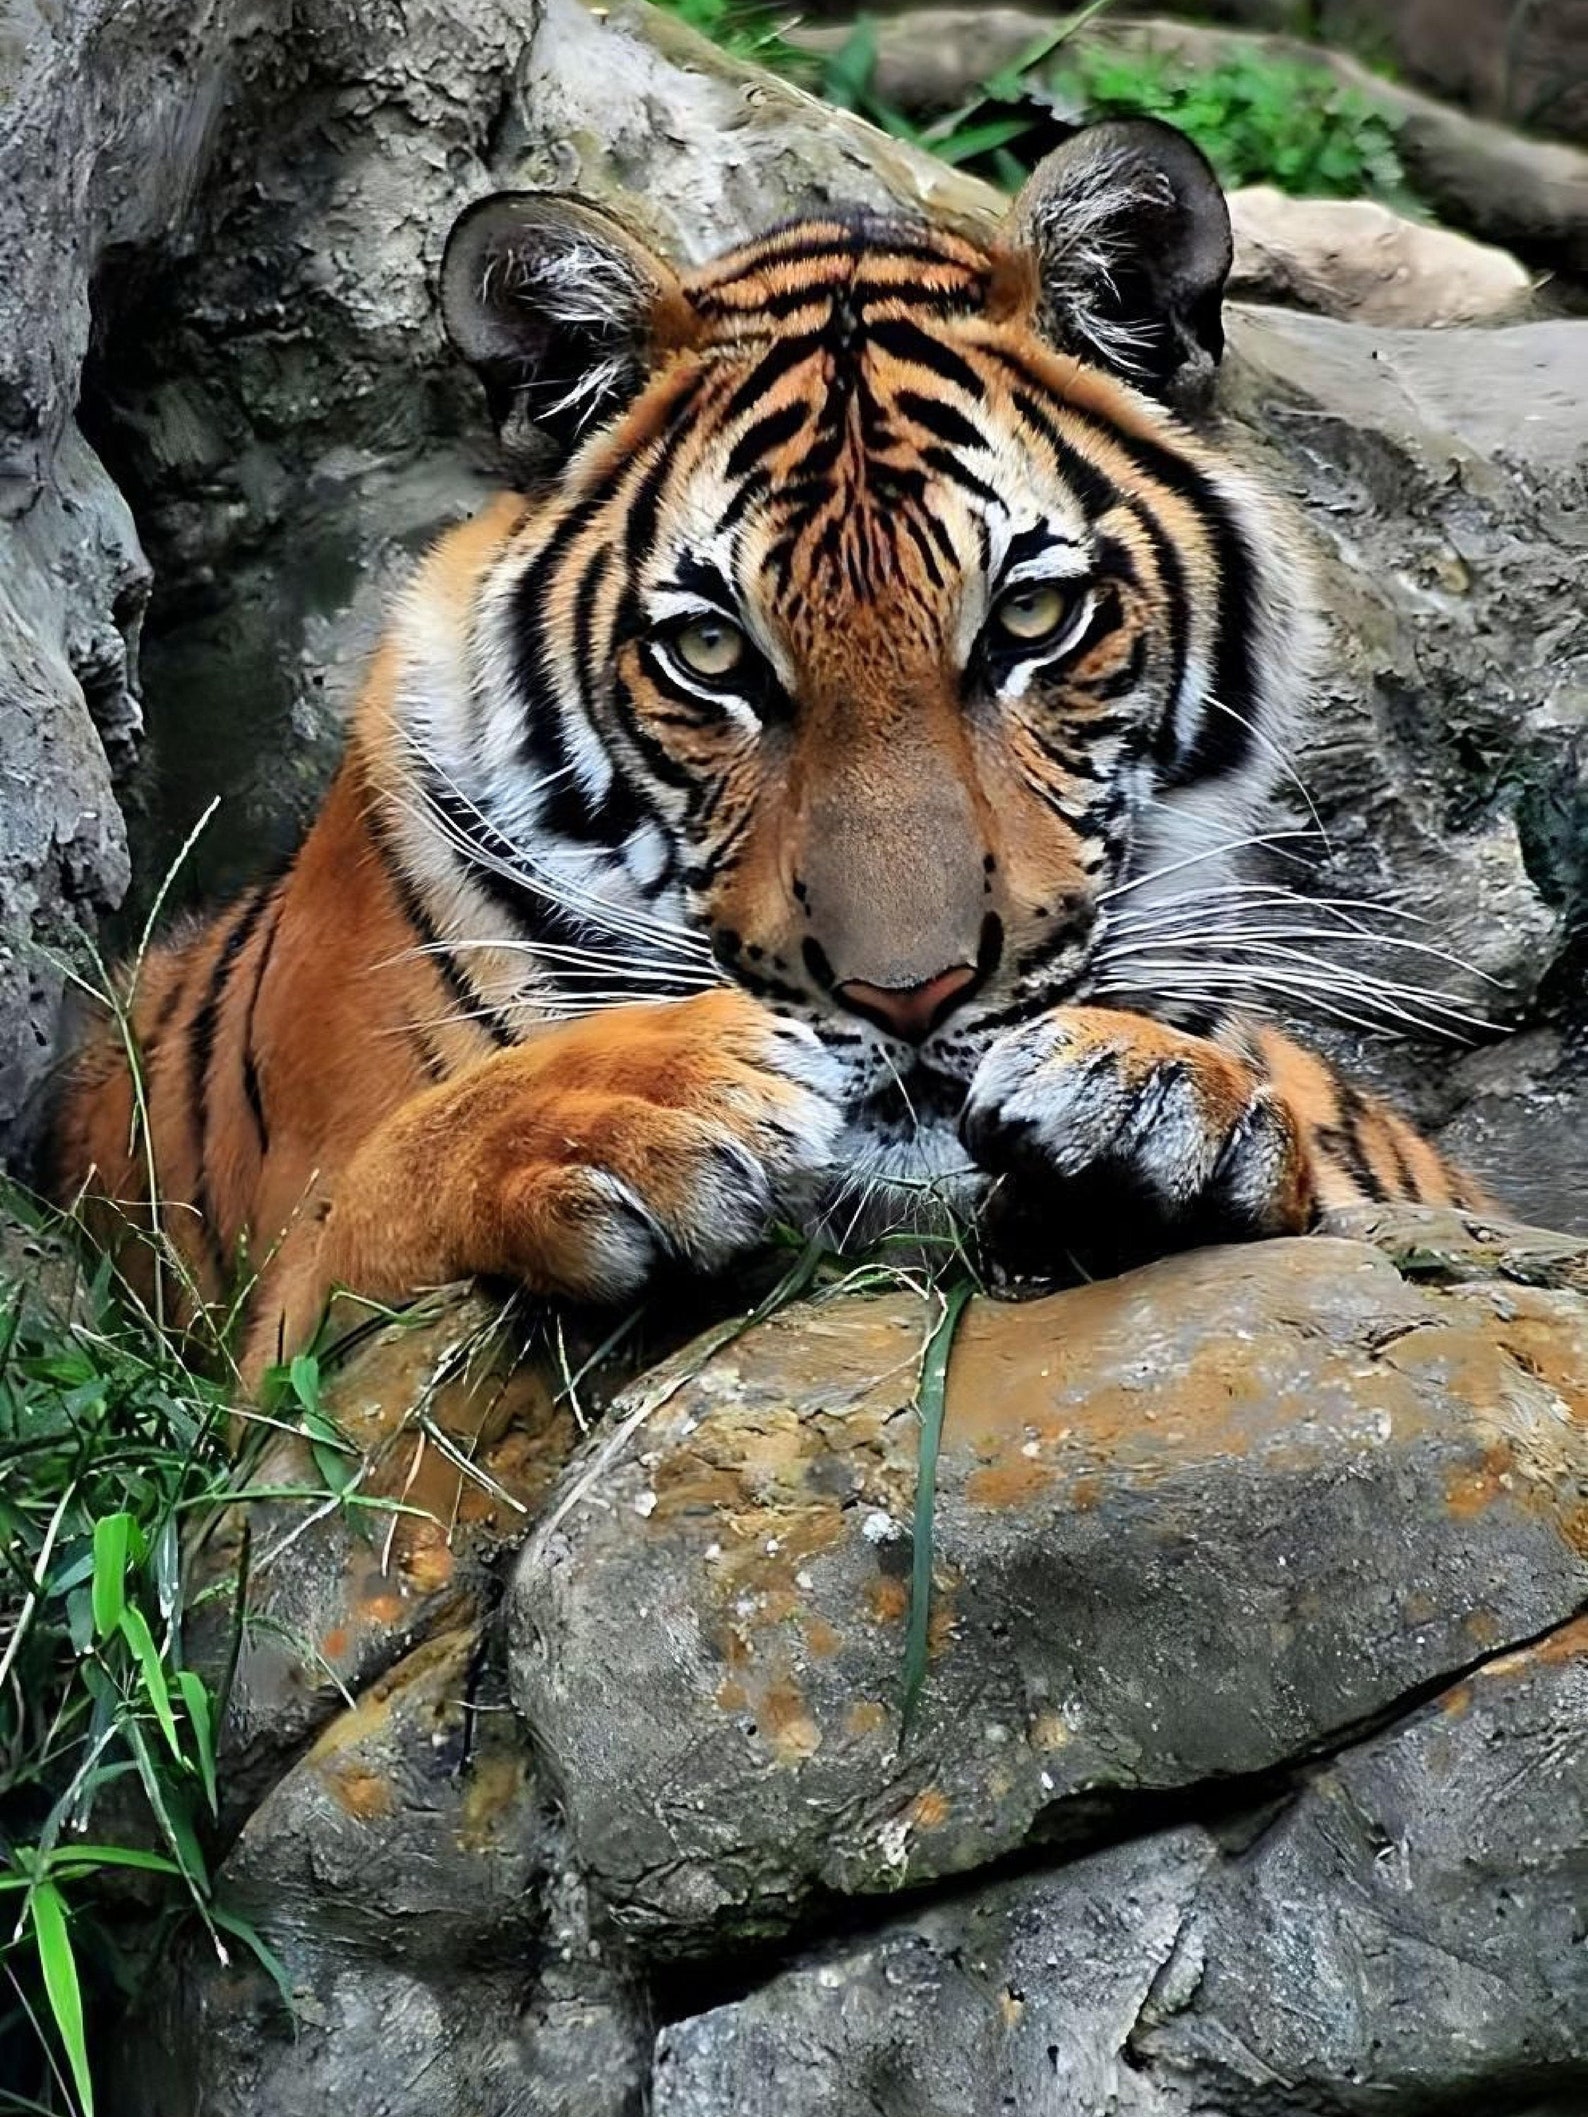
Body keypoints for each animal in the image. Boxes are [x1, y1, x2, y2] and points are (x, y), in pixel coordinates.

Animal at [48, 117, 1488, 1382]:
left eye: (1029, 619)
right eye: (715, 652)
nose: (908, 998)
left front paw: (1154, 1103)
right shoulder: (276, 1323)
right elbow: (395, 1176)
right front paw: (640, 1110)